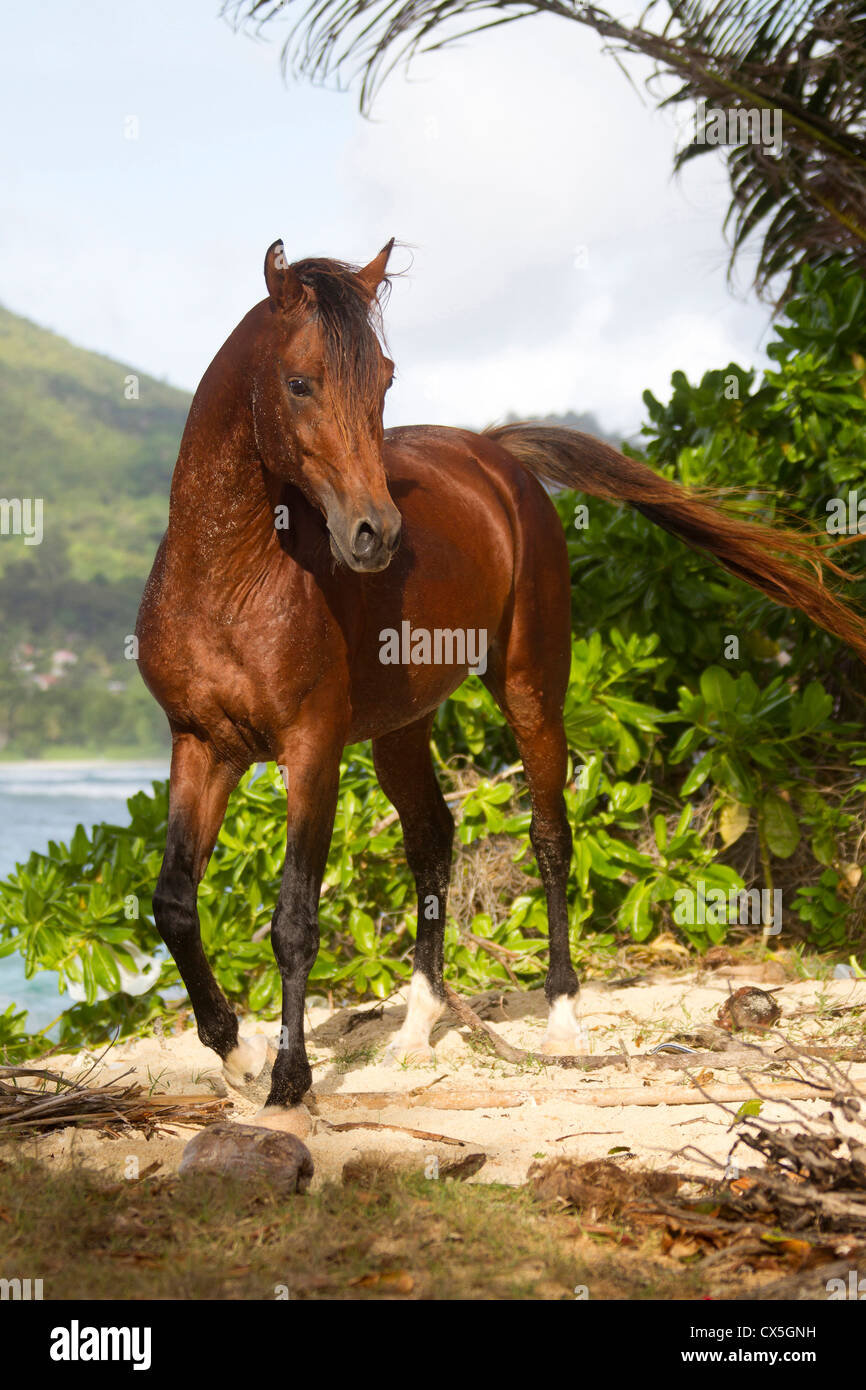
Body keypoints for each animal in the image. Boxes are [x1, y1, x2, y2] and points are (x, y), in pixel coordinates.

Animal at [137, 239, 866, 1136]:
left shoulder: (309, 751)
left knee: (551, 839)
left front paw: (289, 1085)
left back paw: (562, 1018)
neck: (231, 577)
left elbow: (294, 921)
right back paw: (416, 1029)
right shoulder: (201, 745)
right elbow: (173, 903)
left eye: (384, 378)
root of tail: (497, 457)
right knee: (432, 840)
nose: (375, 534)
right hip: (400, 728)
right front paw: (236, 1056)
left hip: (529, 689)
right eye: (300, 382)